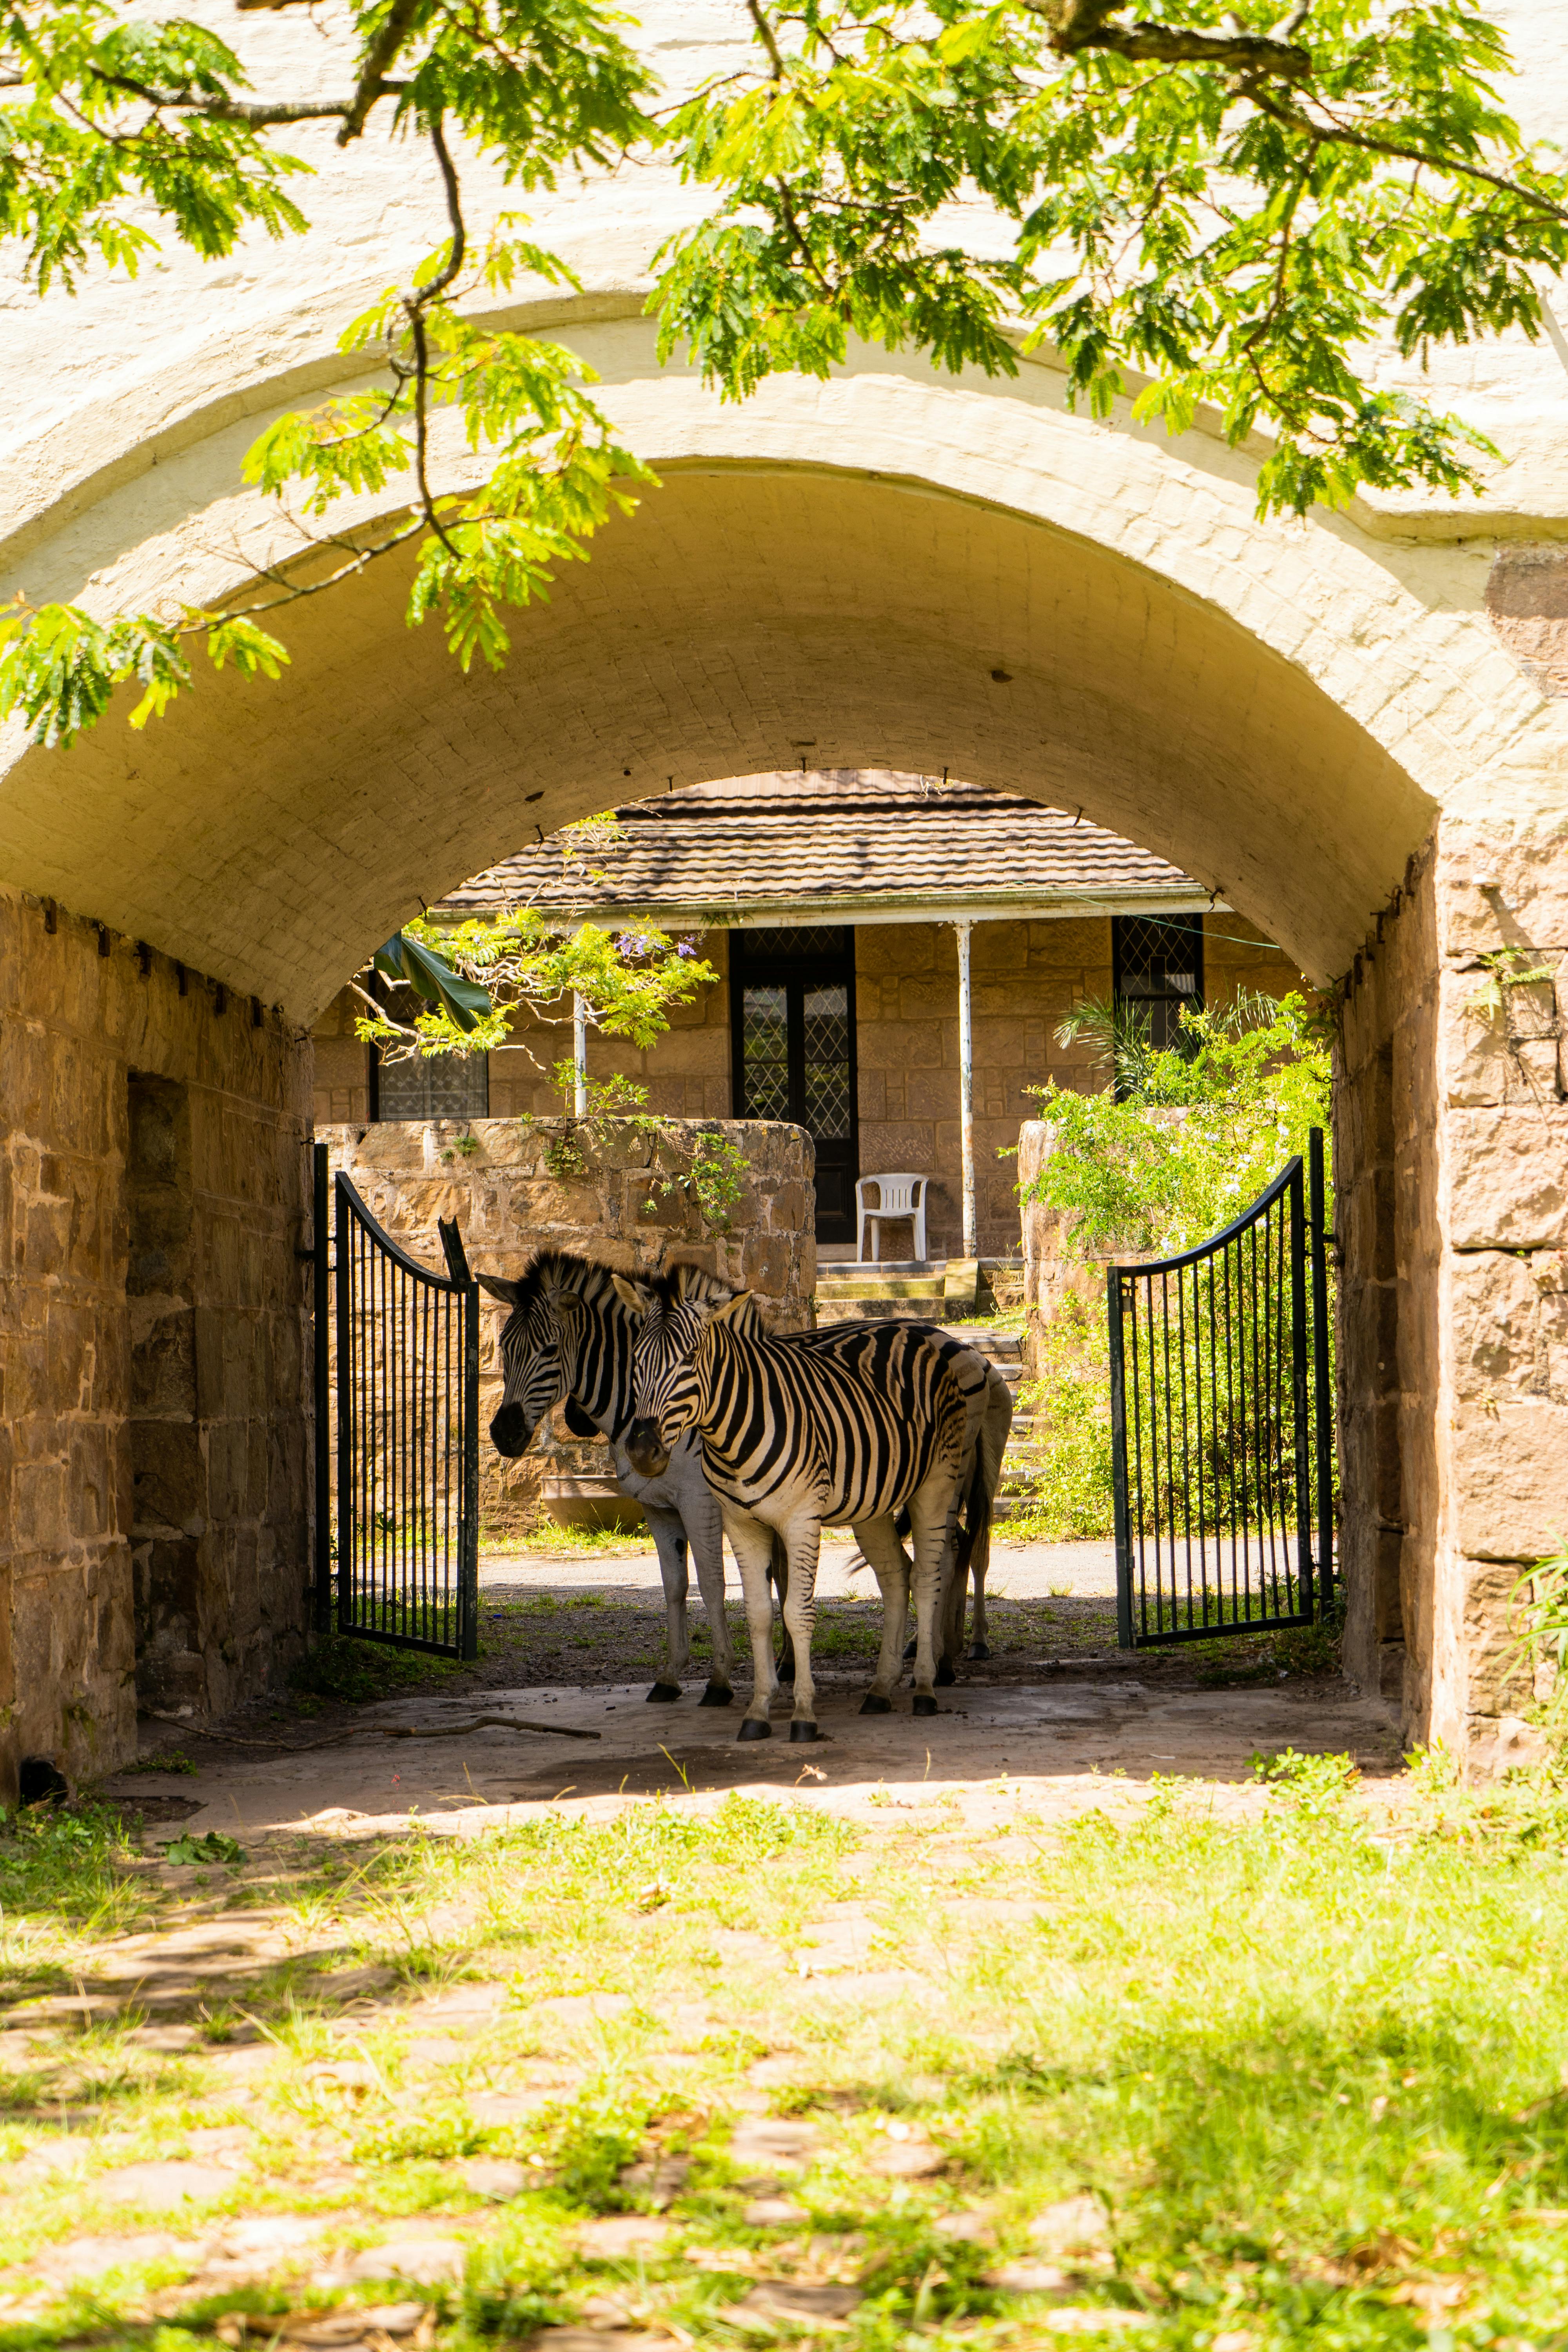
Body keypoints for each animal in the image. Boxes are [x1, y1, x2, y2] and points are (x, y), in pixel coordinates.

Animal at [478, 1251, 741, 1708]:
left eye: (550, 1350)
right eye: (504, 1347)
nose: (504, 1433)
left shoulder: (701, 1502)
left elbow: (712, 1585)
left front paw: (721, 1681)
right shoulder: (658, 1506)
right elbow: (674, 1586)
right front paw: (670, 1676)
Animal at [619, 1264, 1004, 1741]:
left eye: (690, 1357)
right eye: (636, 1359)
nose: (643, 1451)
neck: (733, 1430)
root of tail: (915, 1332)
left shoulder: (801, 1519)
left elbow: (798, 1612)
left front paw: (803, 1714)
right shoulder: (741, 1523)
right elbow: (759, 1614)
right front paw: (758, 1712)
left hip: (936, 1485)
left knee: (928, 1576)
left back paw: (925, 1688)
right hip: (874, 1505)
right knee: (897, 1578)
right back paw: (880, 1688)